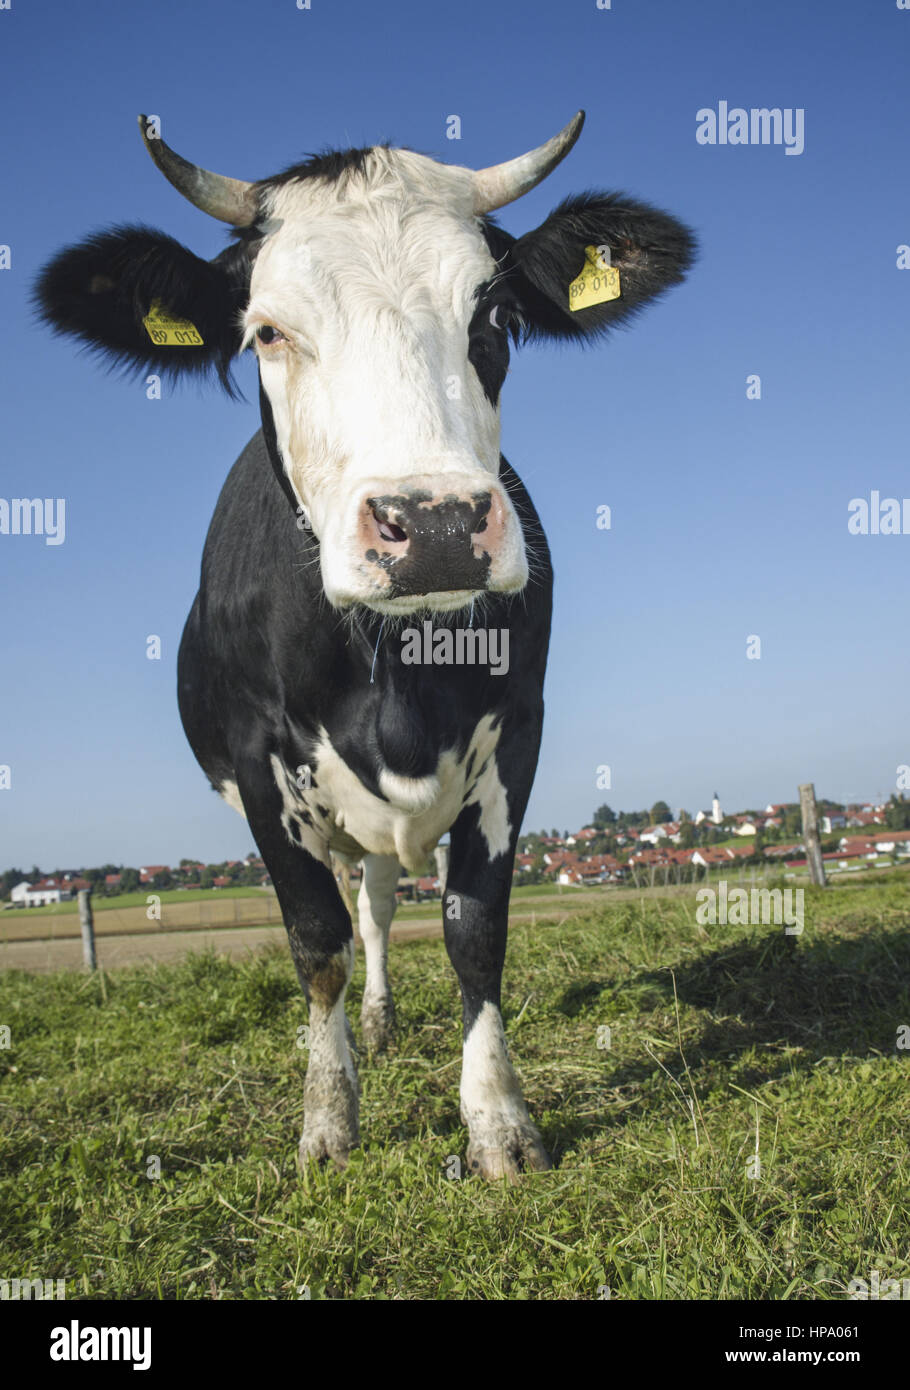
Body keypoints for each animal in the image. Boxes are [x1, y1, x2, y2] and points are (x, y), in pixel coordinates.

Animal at [36, 112, 695, 1179]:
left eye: (494, 317)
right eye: (267, 330)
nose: (433, 525)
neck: (398, 677)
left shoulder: (516, 734)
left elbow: (473, 929)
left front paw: (499, 1122)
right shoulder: (261, 763)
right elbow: (317, 942)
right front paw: (328, 1122)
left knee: (383, 899)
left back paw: (385, 1022)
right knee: (355, 911)